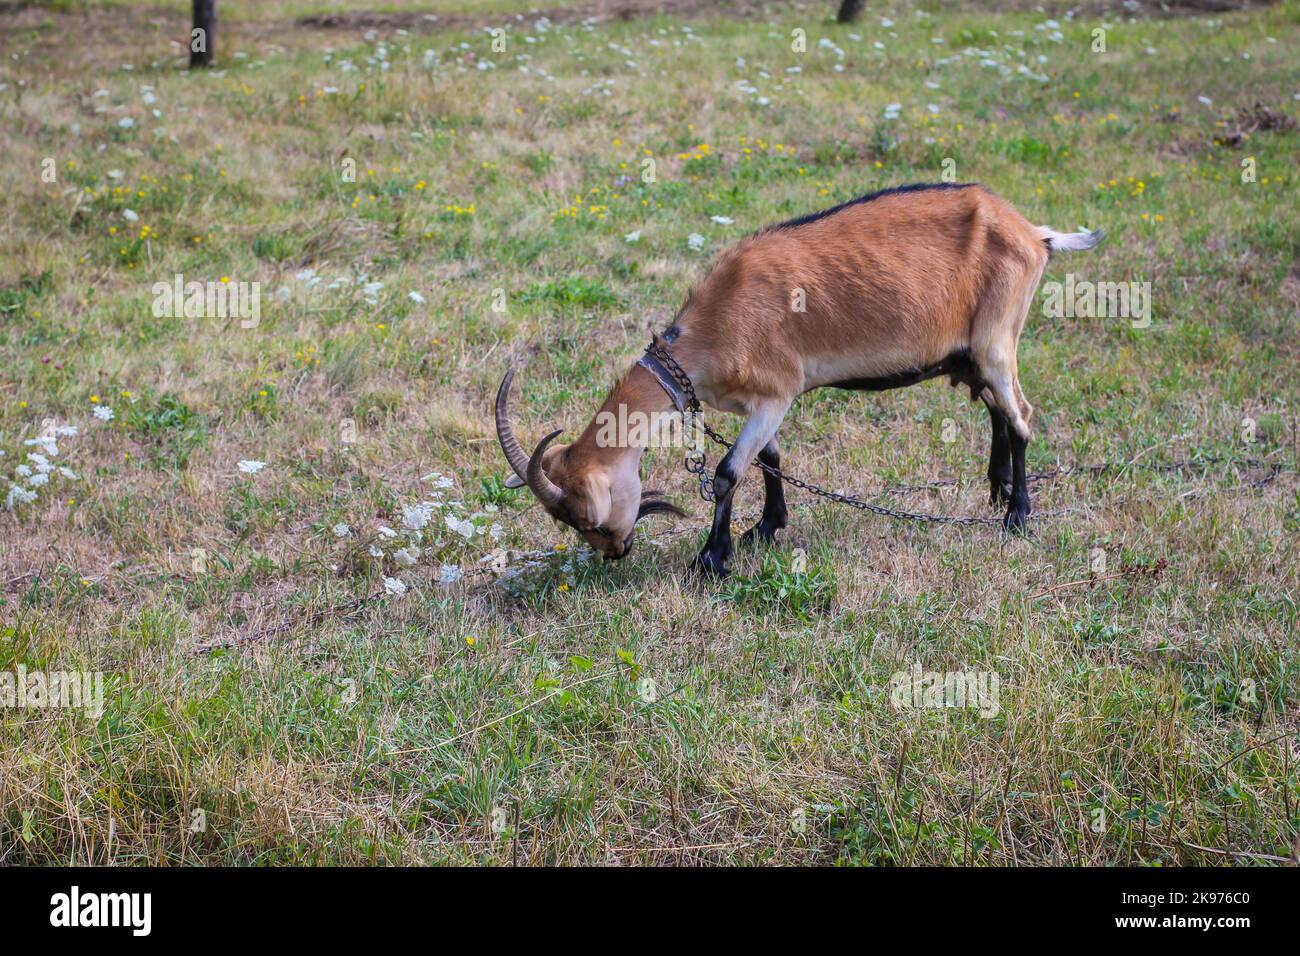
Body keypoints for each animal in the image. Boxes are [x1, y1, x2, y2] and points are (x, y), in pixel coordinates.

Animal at [495, 182, 1100, 576]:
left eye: (590, 520)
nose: (614, 553)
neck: (714, 325)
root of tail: (1034, 233)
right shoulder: (761, 403)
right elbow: (770, 459)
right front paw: (766, 528)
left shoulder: (777, 392)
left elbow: (726, 473)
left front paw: (712, 559)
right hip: (973, 353)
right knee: (996, 408)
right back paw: (998, 492)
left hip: (998, 338)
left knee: (1021, 416)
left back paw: (1017, 517)